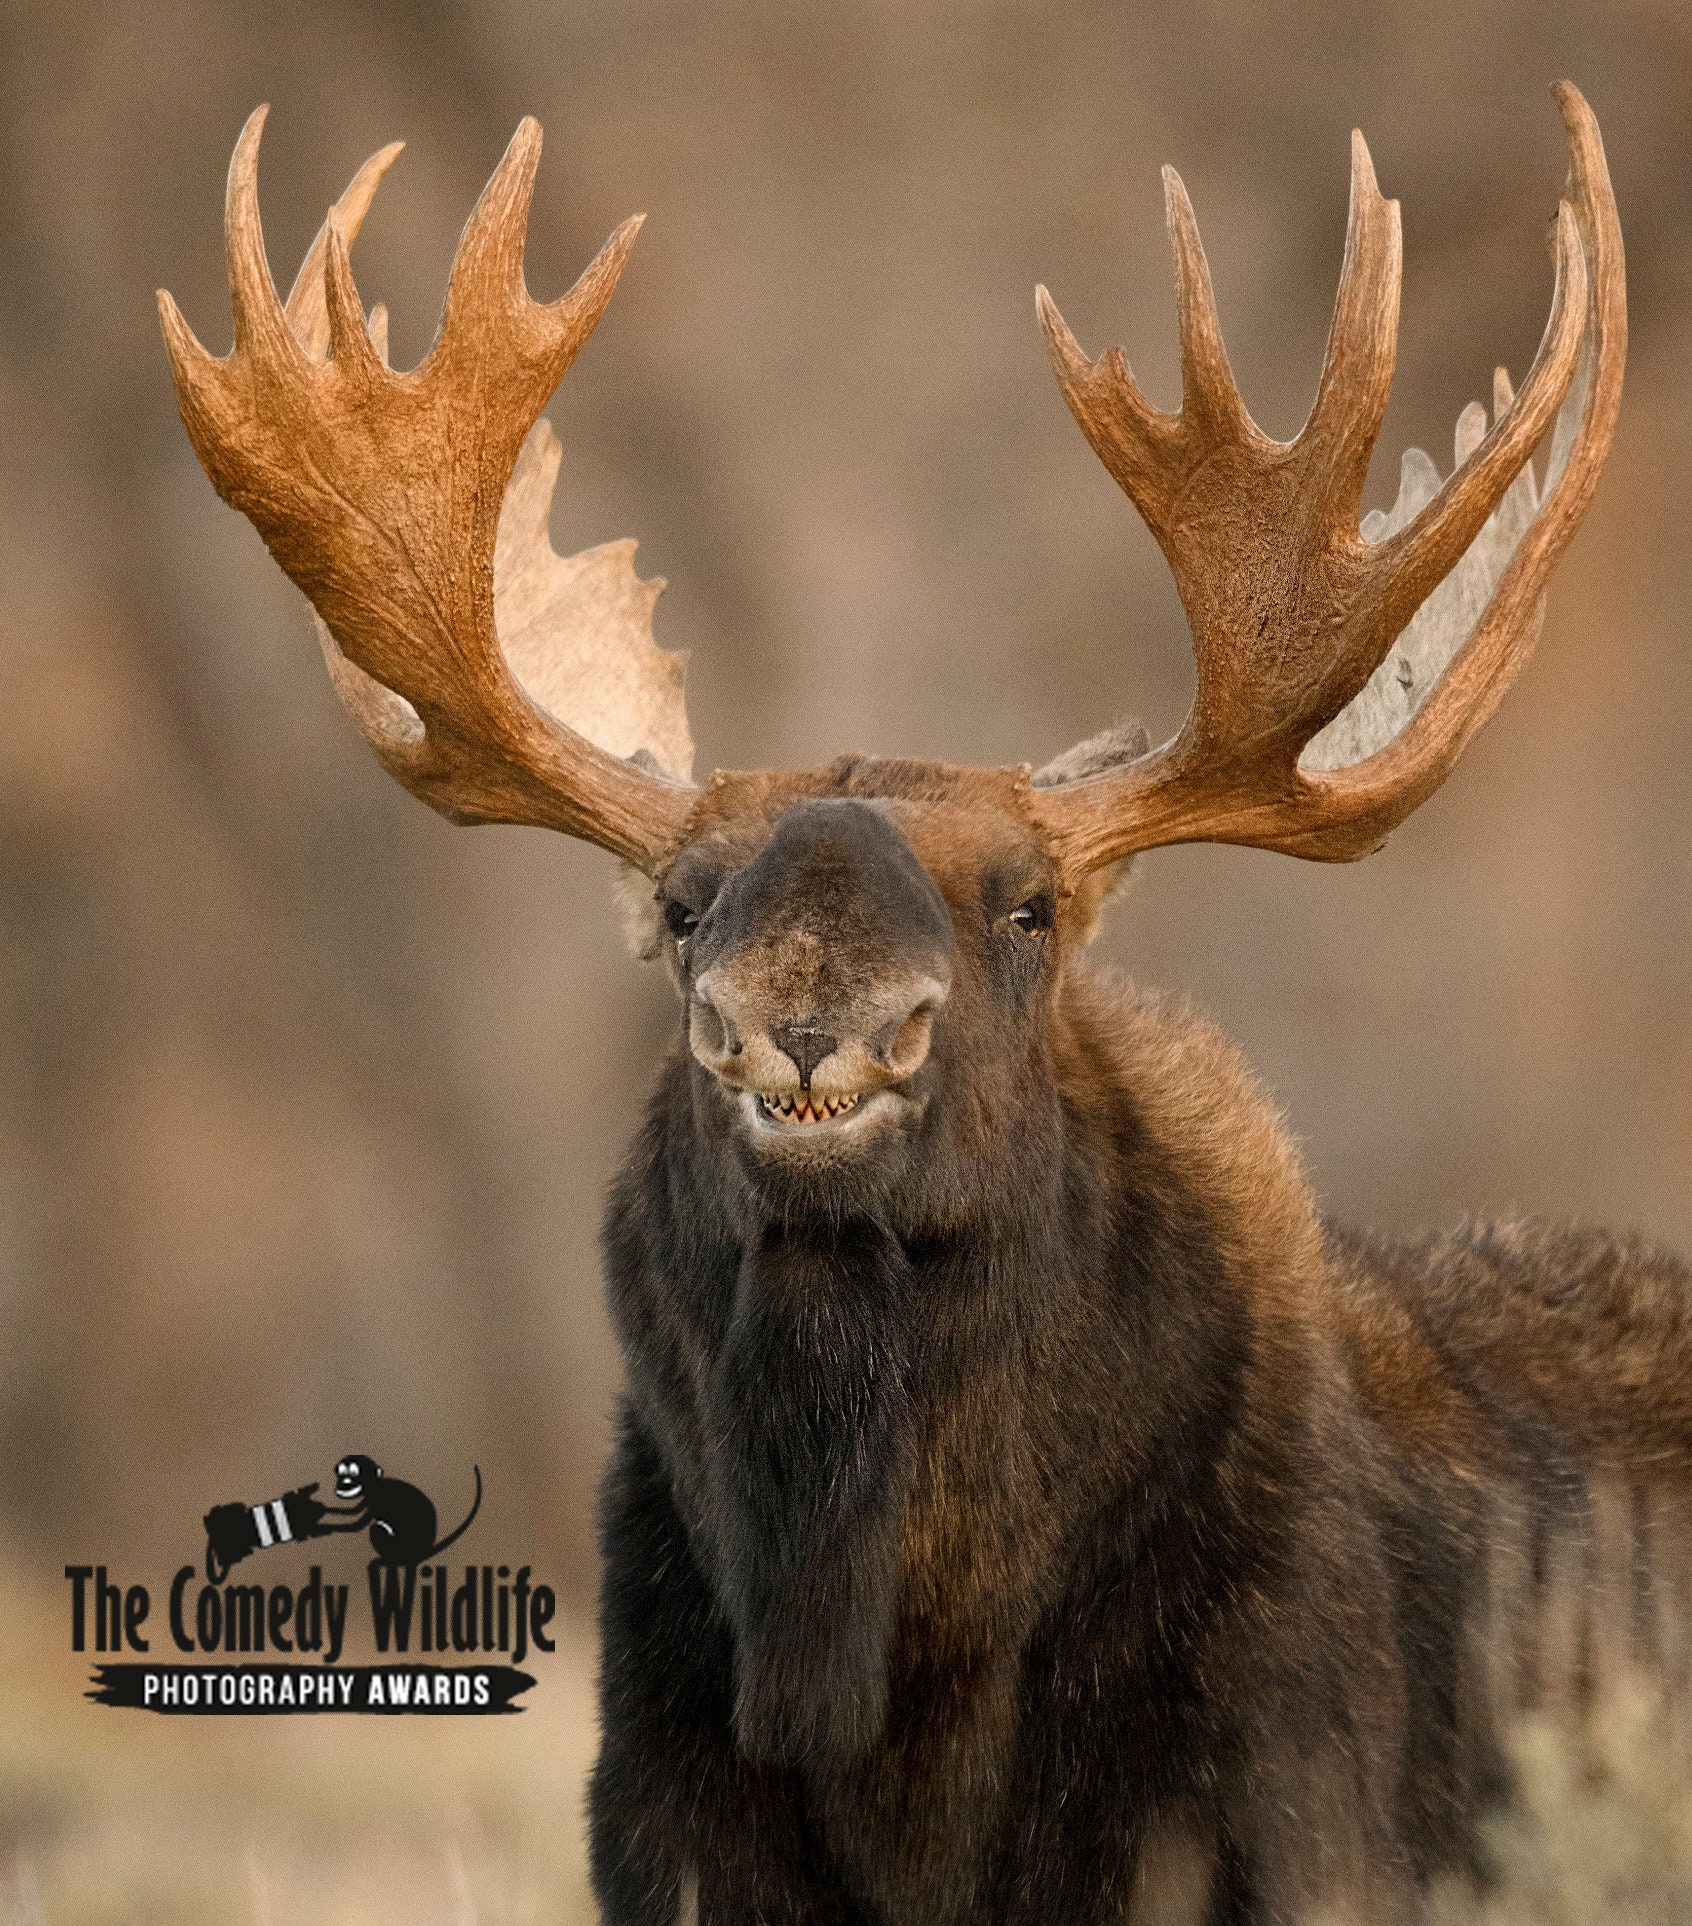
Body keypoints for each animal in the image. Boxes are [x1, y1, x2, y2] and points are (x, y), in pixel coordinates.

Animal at [159, 83, 1682, 1924]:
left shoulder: (1310, 1828)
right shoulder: (661, 1825)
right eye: (684, 907)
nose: (810, 1023)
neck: (907, 1717)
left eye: (1029, 905)